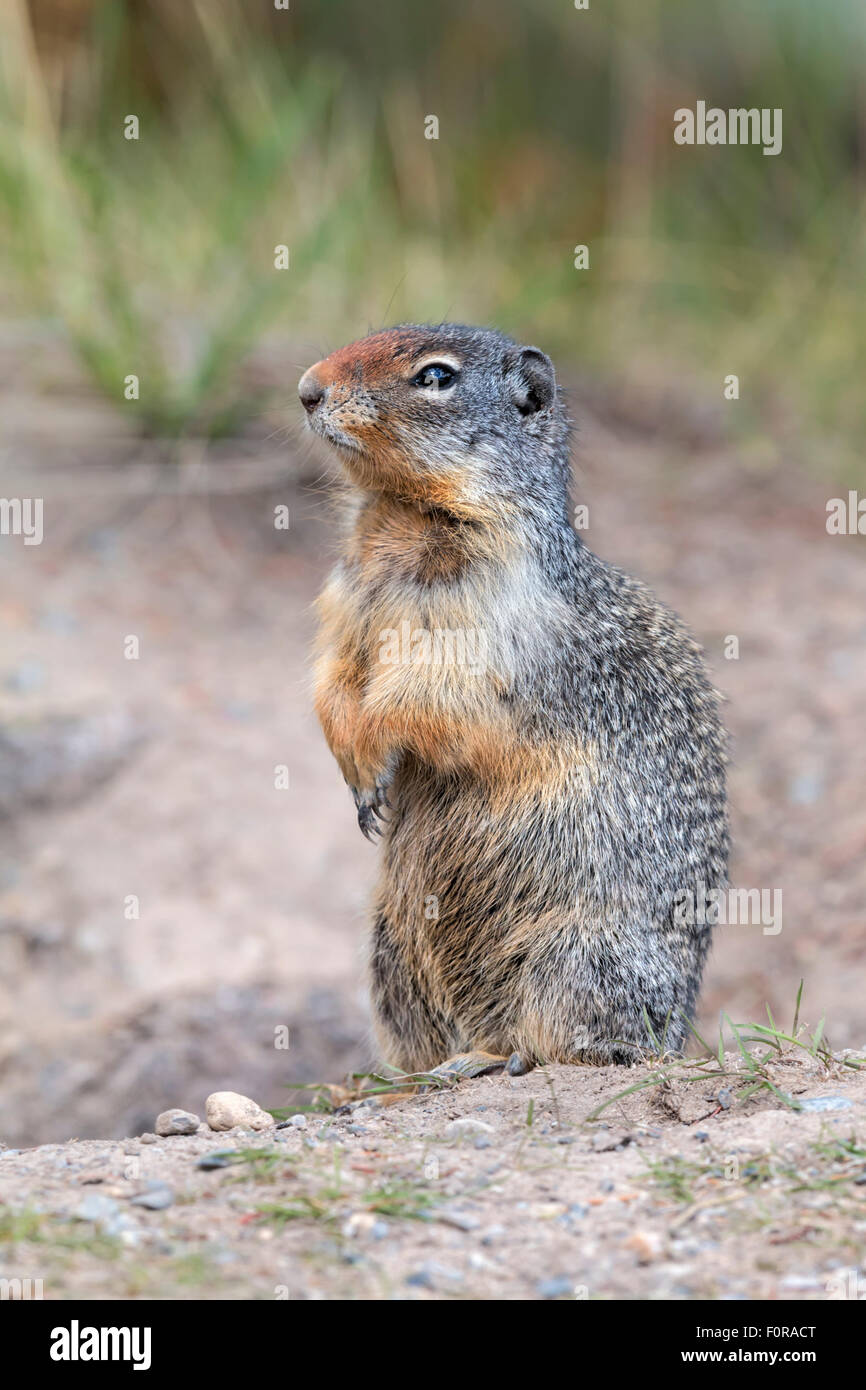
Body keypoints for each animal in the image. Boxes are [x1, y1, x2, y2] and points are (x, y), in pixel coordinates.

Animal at [300, 323, 728, 1079]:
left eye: (435, 377)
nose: (306, 389)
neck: (397, 514)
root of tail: (675, 1038)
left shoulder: (491, 627)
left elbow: (430, 696)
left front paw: (377, 753)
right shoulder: (345, 602)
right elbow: (334, 679)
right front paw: (361, 781)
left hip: (579, 954)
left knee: (571, 1043)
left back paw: (492, 1058)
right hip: (387, 951)